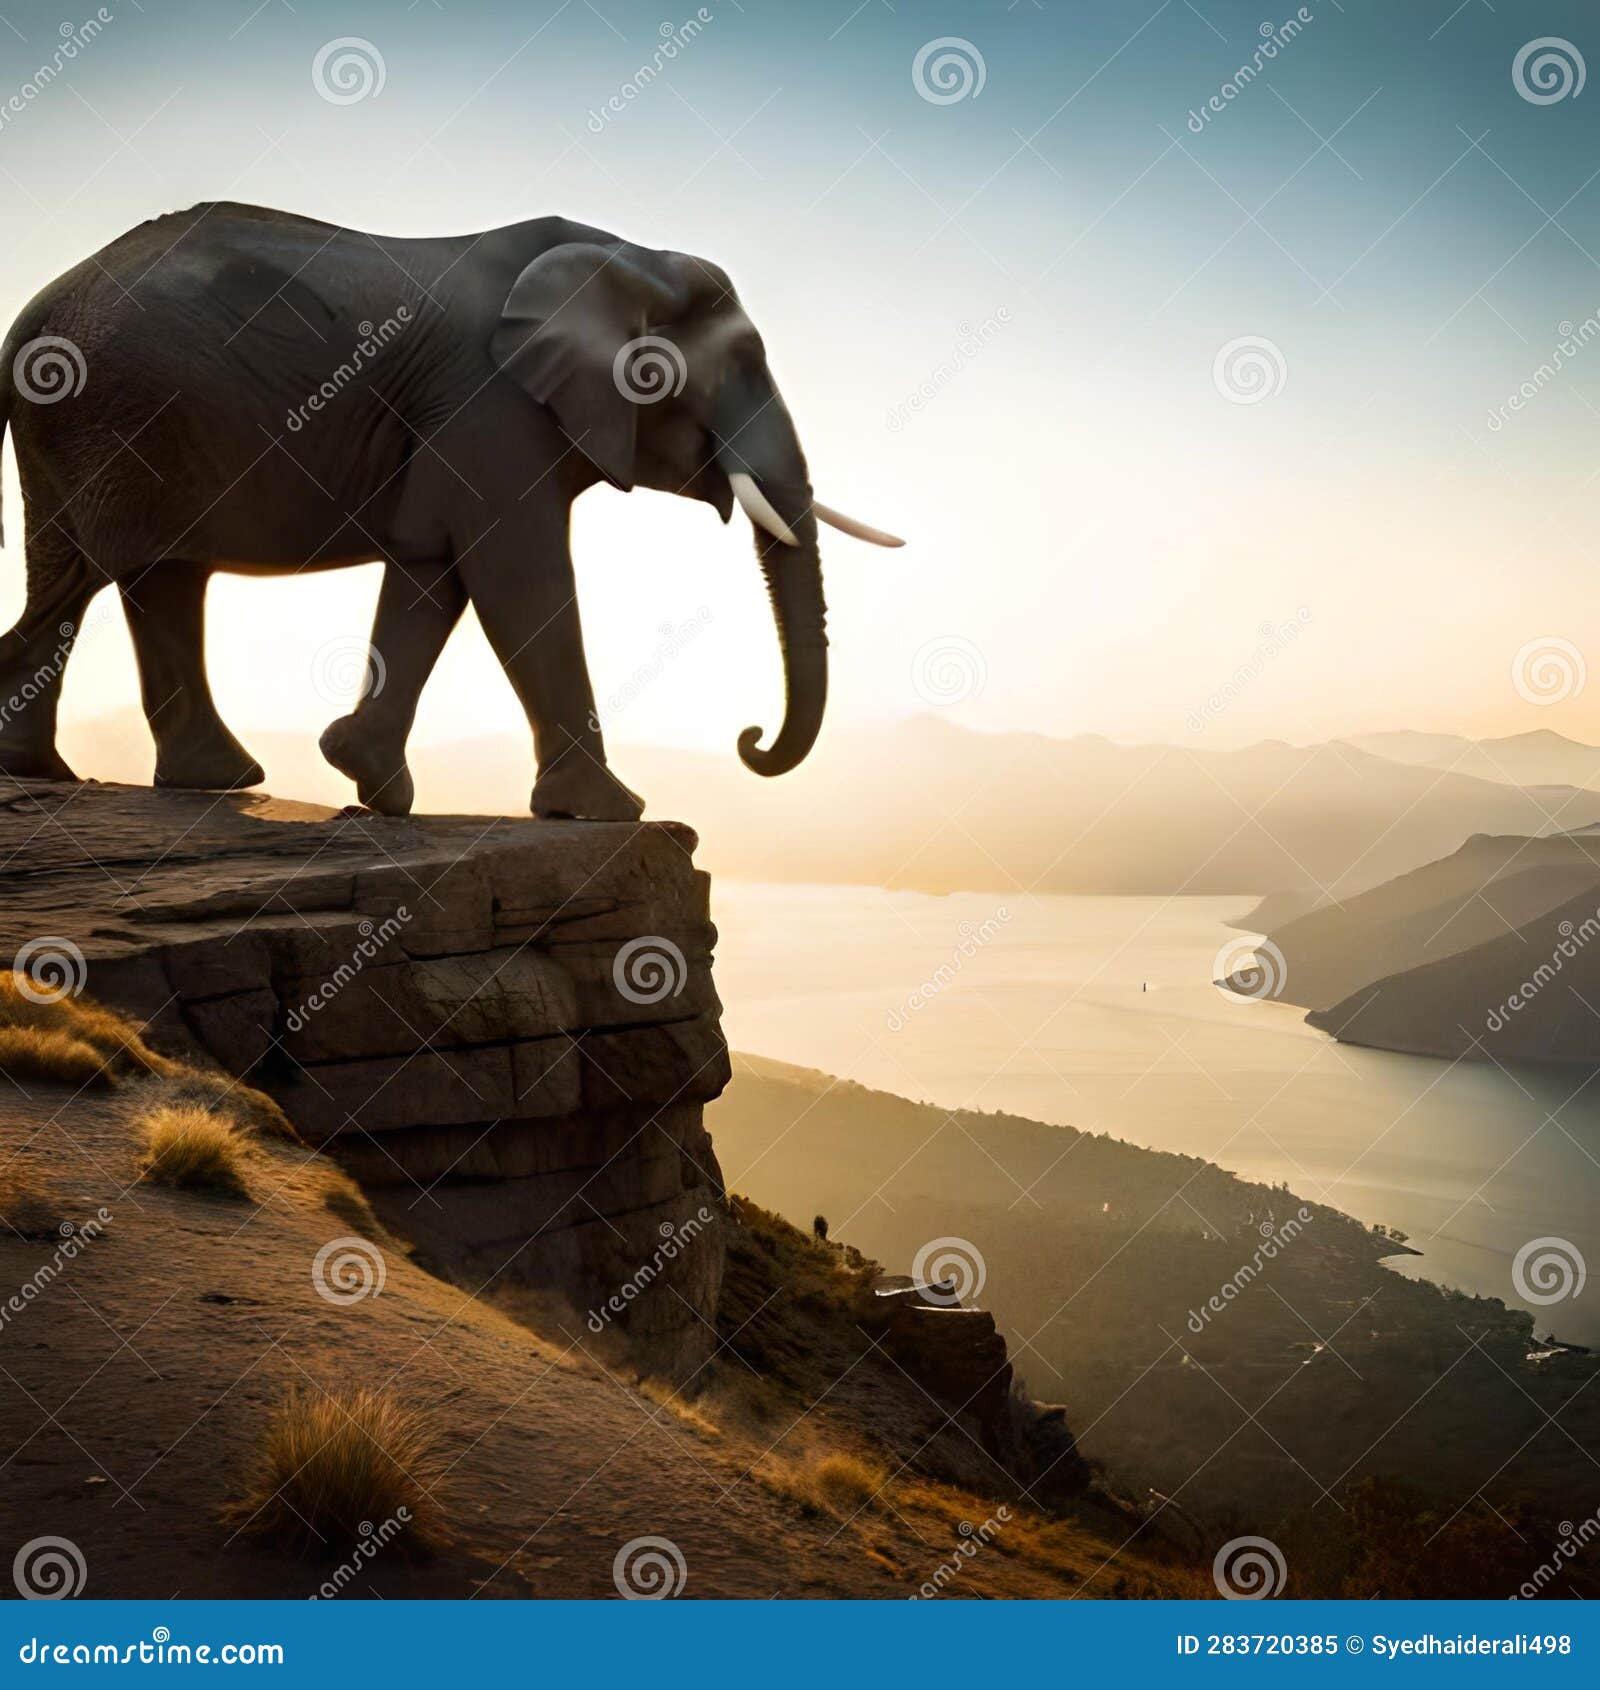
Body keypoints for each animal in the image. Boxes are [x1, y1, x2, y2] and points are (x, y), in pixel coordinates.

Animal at [0, 202, 901, 819]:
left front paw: (364, 775)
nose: (749, 741)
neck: (626, 254)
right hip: (111, 419)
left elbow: (434, 575)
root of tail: (26, 322)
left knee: (123, 580)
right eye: (741, 363)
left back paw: (115, 775)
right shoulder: (491, 406)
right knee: (114, 578)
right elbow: (515, 575)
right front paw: (612, 813)